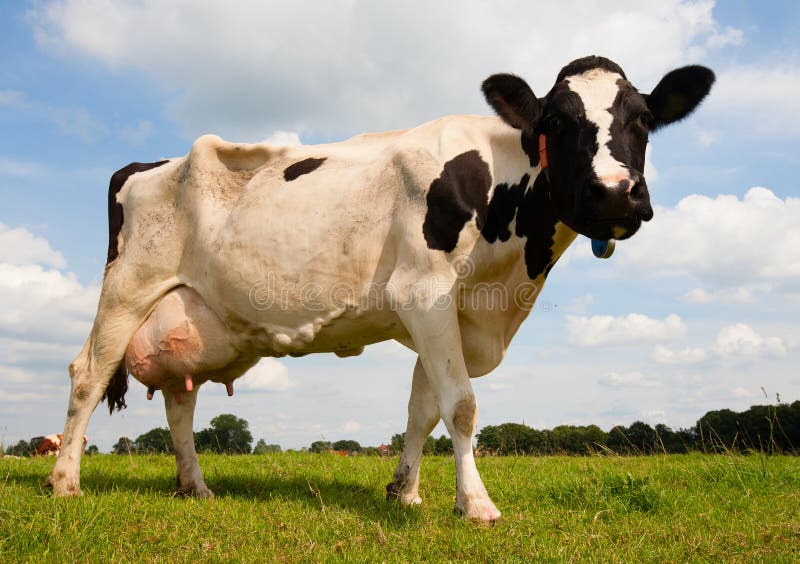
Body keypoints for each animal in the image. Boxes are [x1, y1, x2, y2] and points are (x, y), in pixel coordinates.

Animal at [47, 56, 713, 522]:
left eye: (644, 120)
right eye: (557, 121)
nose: (615, 193)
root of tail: (143, 165)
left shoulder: (446, 314)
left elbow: (423, 408)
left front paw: (405, 493)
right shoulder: (425, 292)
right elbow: (462, 404)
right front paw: (476, 505)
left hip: (188, 312)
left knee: (180, 402)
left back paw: (196, 487)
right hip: (128, 288)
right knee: (88, 374)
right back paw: (64, 482)